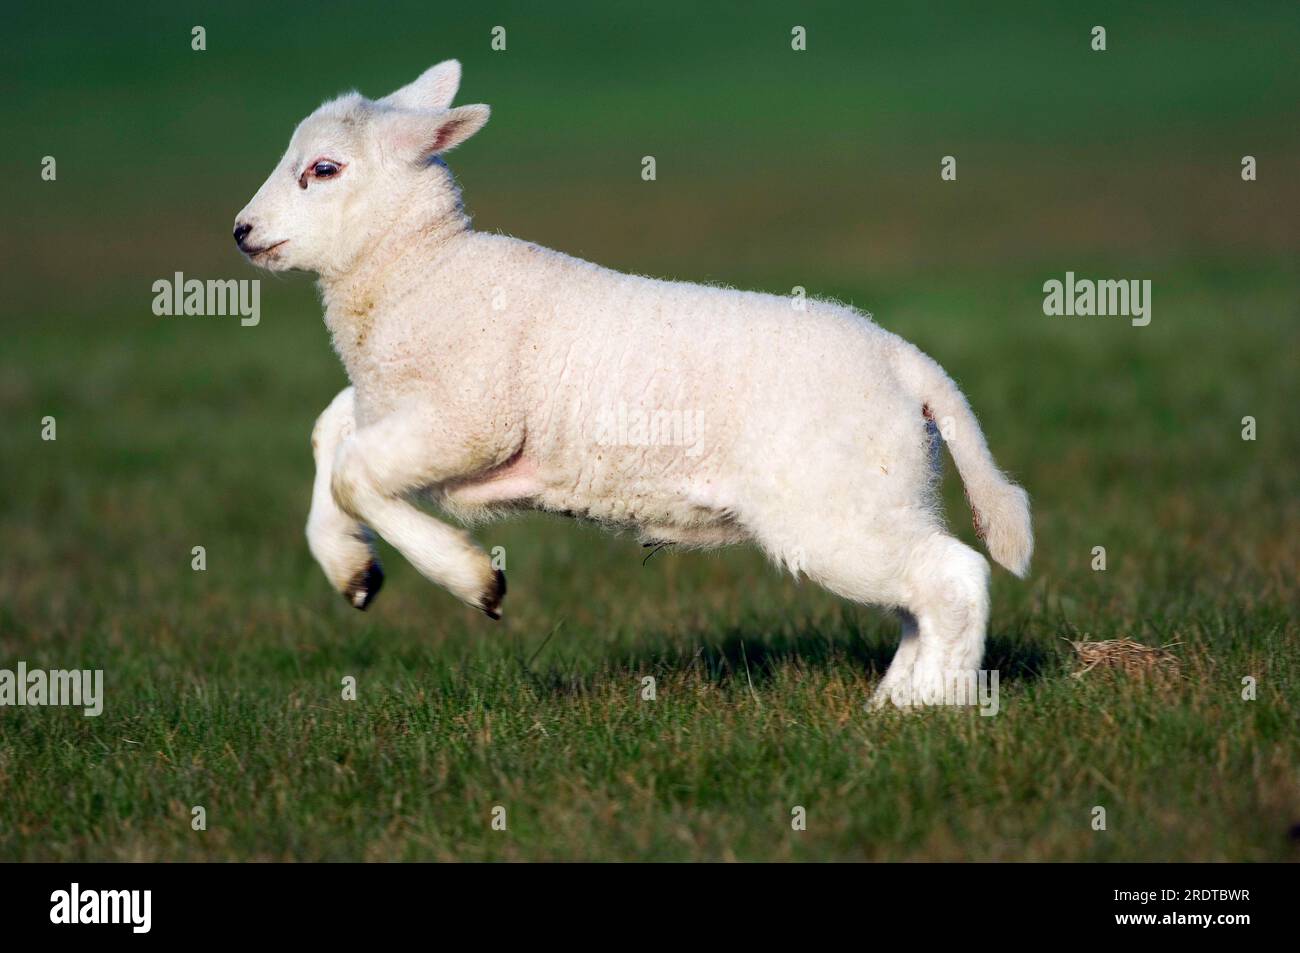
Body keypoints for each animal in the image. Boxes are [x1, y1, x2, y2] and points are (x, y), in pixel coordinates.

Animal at [234, 60, 1033, 707]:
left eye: (324, 169)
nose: (241, 231)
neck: (418, 270)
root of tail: (909, 364)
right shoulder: (391, 400)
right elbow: (332, 434)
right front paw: (352, 569)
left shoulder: (468, 422)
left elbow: (354, 470)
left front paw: (473, 579)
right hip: (884, 492)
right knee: (918, 598)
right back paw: (895, 700)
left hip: (834, 505)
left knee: (954, 578)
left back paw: (930, 708)